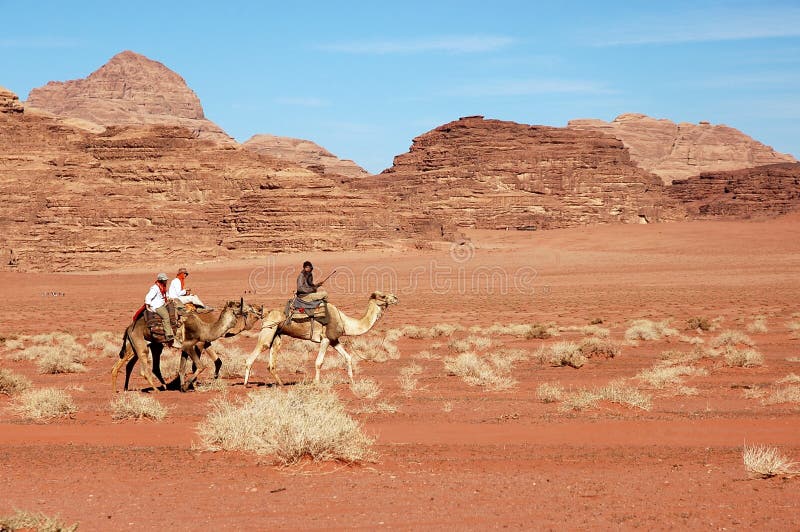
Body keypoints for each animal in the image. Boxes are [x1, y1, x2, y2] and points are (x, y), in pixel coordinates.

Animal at [111, 299, 259, 392]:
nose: (255, 308)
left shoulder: (184, 348)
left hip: (144, 346)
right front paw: (188, 385)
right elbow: (200, 366)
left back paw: (122, 389)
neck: (204, 328)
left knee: (128, 365)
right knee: (143, 368)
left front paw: (182, 386)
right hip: (140, 344)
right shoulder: (190, 344)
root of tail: (129, 327)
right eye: (238, 304)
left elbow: (181, 369)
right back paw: (156, 389)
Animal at [243, 291, 399, 387]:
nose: (396, 298)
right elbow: (319, 362)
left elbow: (348, 357)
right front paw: (316, 383)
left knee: (271, 362)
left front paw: (352, 381)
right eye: (383, 296)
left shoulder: (334, 340)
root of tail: (265, 313)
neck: (344, 322)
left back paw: (281, 384)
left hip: (276, 334)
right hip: (268, 329)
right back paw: (245, 384)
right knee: (254, 354)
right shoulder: (325, 339)